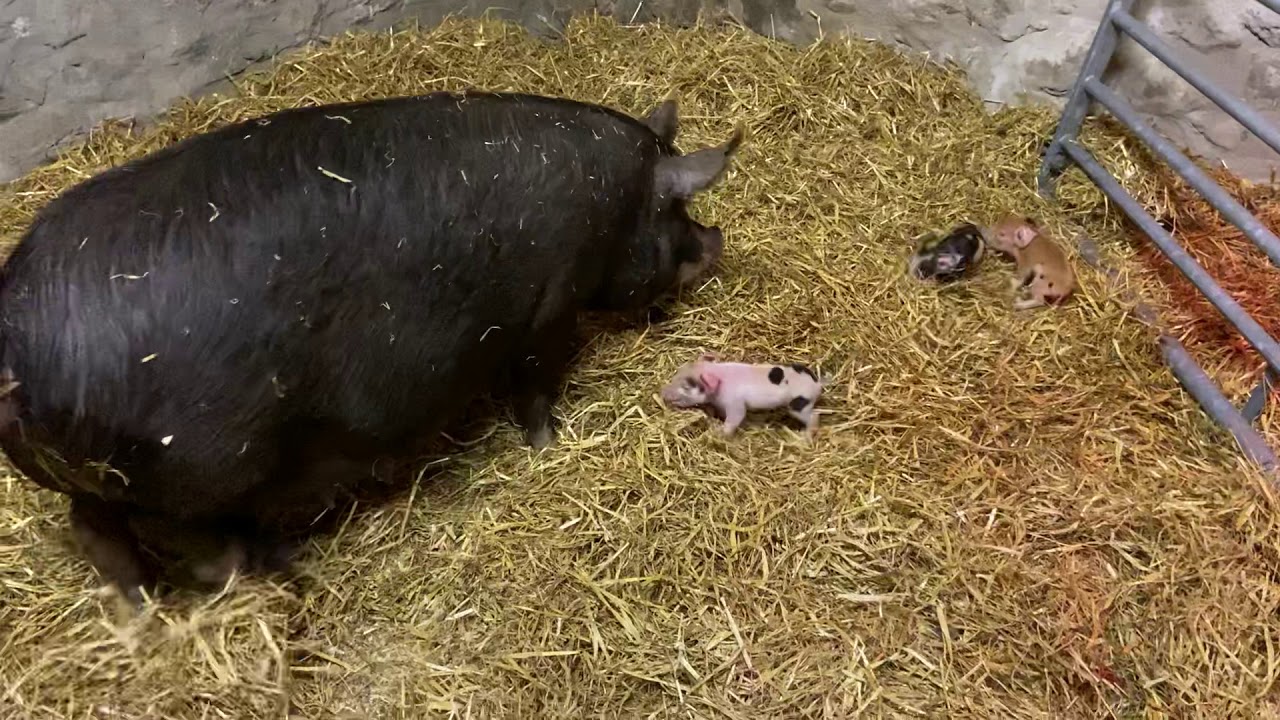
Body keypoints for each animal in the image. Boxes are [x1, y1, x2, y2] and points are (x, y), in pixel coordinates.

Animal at [0, 91, 743, 604]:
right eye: (674, 210)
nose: (715, 242)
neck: (610, 208)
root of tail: (17, 352)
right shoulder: (547, 309)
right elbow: (533, 387)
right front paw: (549, 445)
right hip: (191, 478)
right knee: (210, 556)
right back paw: (276, 586)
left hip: (106, 482)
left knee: (95, 534)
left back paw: (143, 614)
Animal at [660, 353, 826, 438]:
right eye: (677, 374)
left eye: (686, 386)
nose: (662, 392)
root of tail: (817, 384)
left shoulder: (735, 403)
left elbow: (736, 417)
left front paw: (719, 433)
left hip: (799, 404)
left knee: (814, 416)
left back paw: (804, 438)